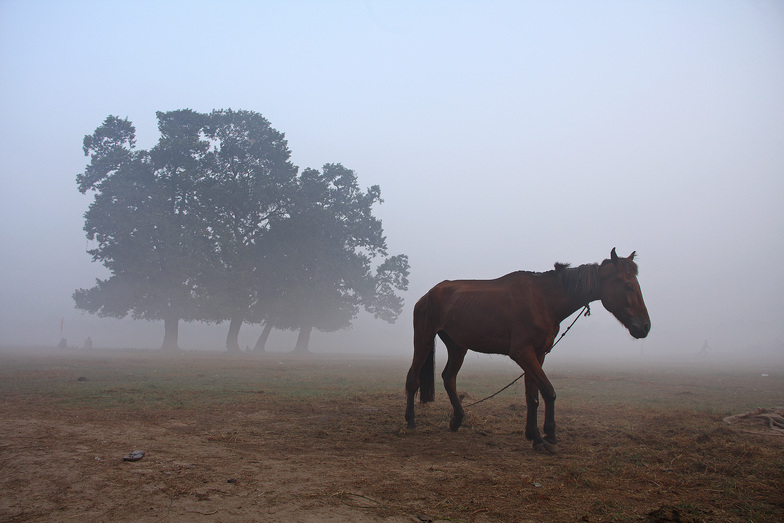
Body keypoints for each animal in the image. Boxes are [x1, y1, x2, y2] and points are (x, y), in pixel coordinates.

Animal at [404, 248, 648, 452]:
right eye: (627, 286)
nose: (645, 327)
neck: (543, 300)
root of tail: (428, 294)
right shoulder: (522, 353)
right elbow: (548, 391)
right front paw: (549, 436)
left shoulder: (538, 354)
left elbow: (533, 396)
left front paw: (535, 436)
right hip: (424, 340)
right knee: (413, 378)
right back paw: (410, 420)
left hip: (458, 346)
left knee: (449, 378)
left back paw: (457, 419)